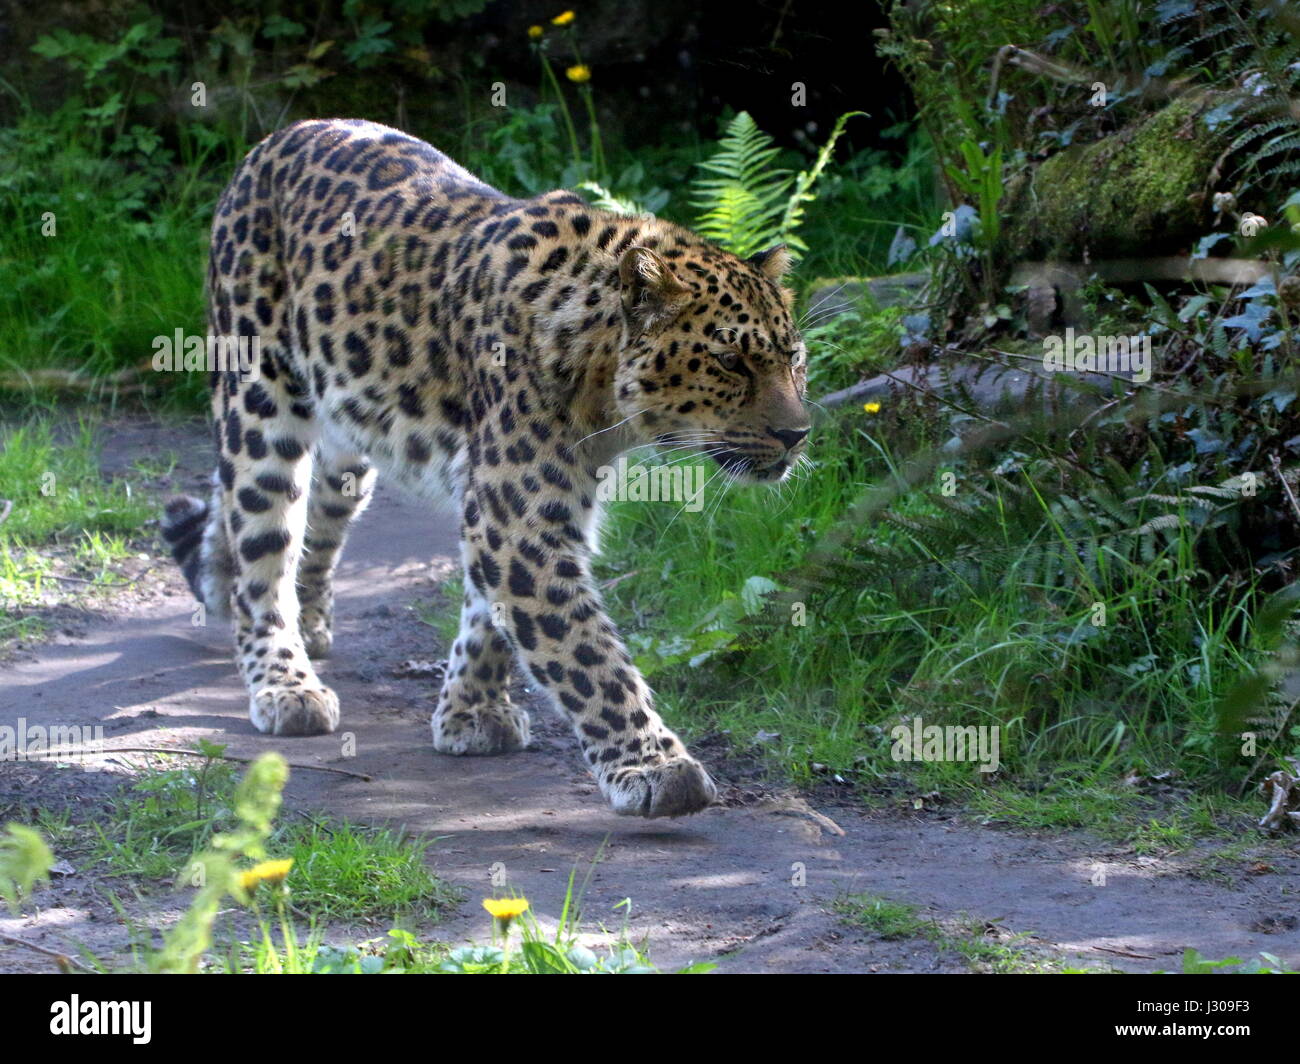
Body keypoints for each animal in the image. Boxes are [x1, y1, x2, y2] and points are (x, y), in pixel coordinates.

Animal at [162, 118, 810, 819]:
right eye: (731, 362)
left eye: (793, 358)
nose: (798, 434)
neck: (605, 393)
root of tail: (278, 137)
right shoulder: (518, 518)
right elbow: (584, 652)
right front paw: (654, 766)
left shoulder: (524, 508)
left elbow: (488, 615)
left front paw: (471, 714)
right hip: (260, 402)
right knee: (261, 545)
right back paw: (284, 681)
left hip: (346, 440)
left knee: (304, 526)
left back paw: (305, 621)